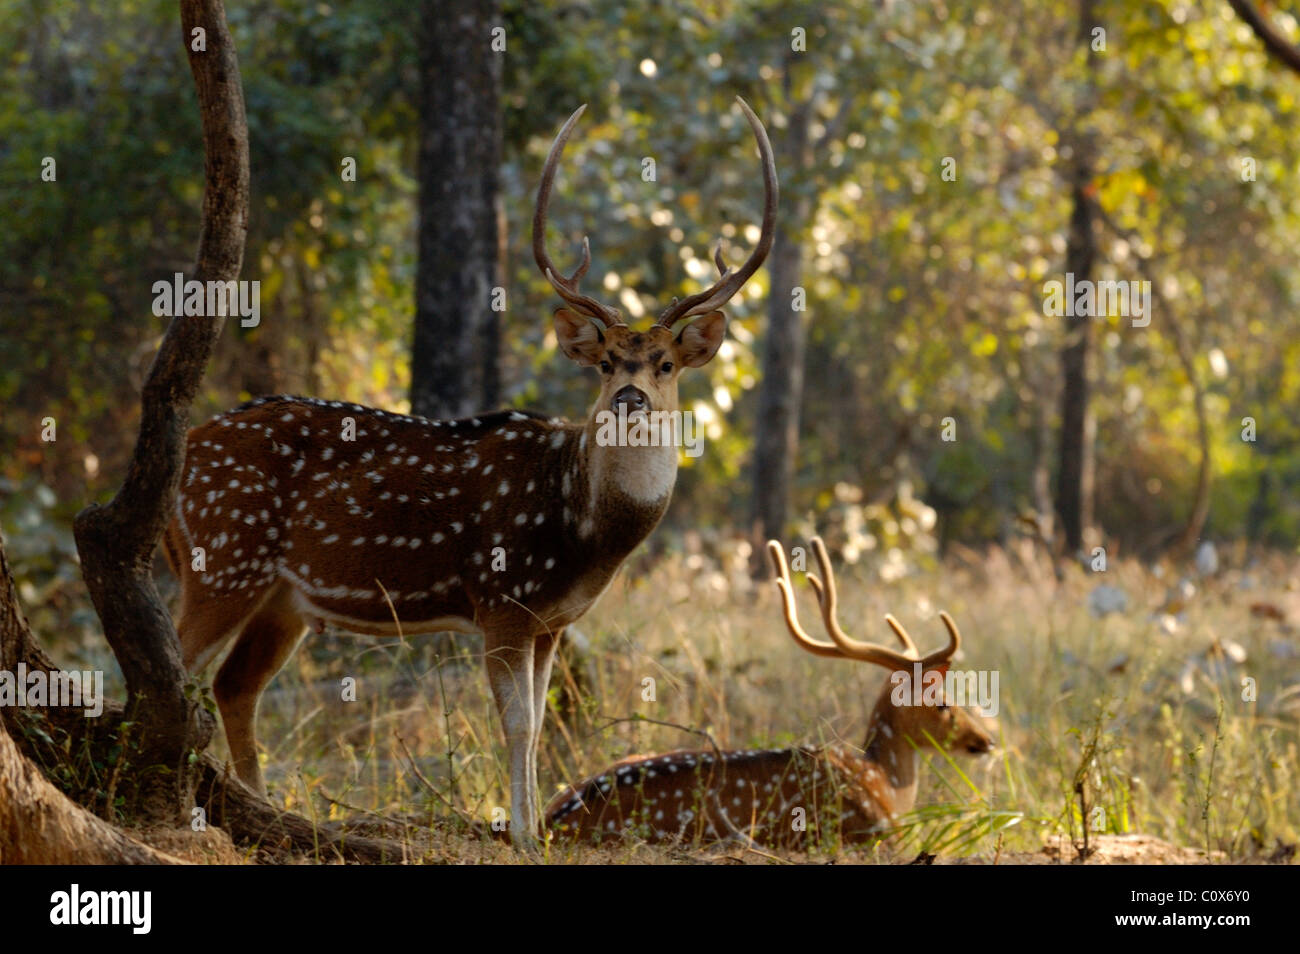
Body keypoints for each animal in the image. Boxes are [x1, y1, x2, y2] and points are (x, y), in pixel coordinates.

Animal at [160, 97, 777, 847]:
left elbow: (538, 725)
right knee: (172, 667)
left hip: (281, 596)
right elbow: (518, 723)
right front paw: (523, 835)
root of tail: (181, 460)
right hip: (225, 555)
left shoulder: (551, 621)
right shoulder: (501, 597)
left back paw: (265, 808)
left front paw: (536, 830)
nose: (629, 398)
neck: (584, 528)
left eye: (665, 363)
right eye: (607, 362)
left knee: (234, 685)